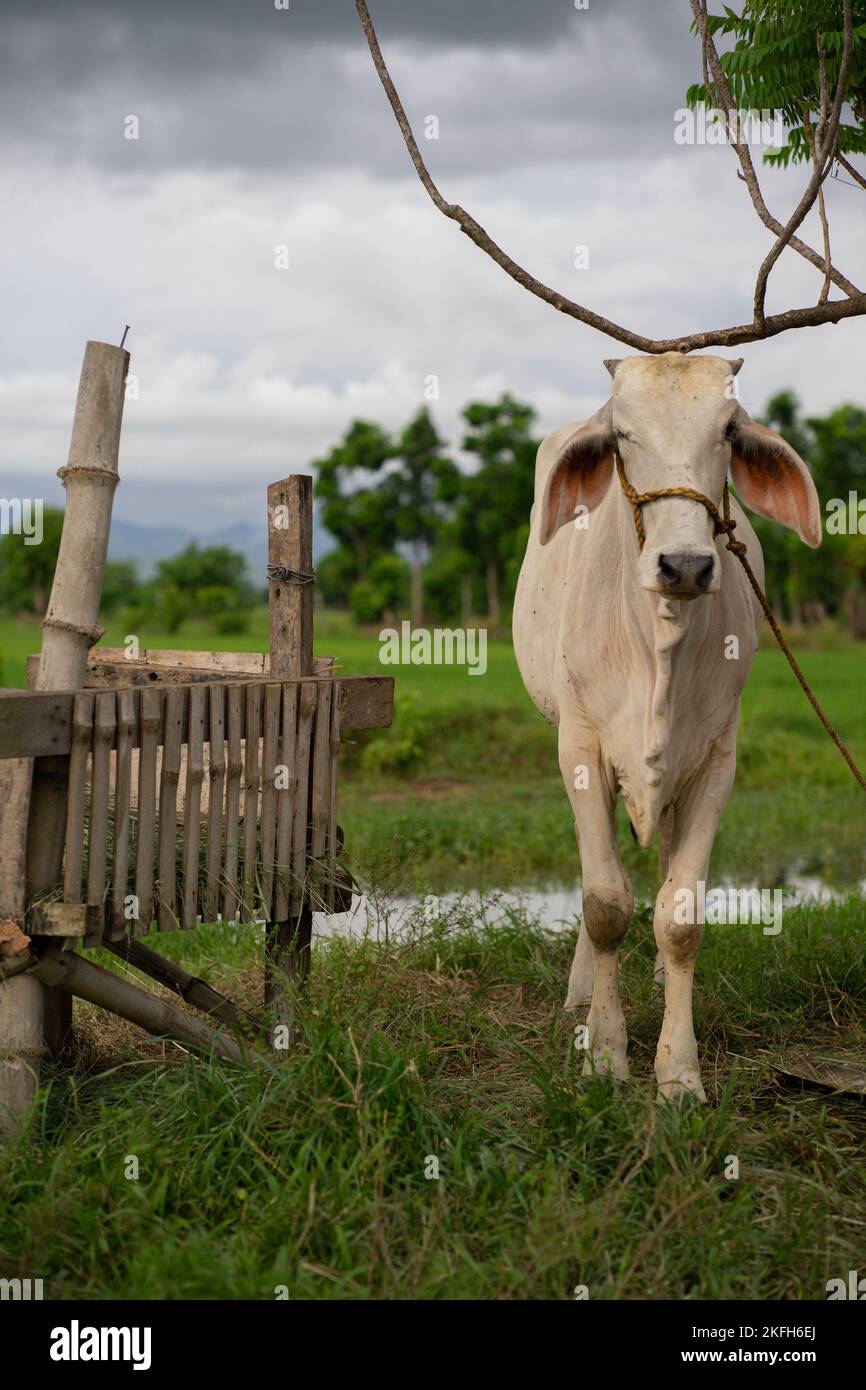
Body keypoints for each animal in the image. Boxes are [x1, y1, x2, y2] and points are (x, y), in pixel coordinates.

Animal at [512, 352, 821, 1102]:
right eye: (621, 432)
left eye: (730, 431)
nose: (685, 565)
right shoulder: (582, 748)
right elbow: (604, 904)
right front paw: (604, 1054)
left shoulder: (716, 760)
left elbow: (680, 916)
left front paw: (678, 1071)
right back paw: (581, 989)